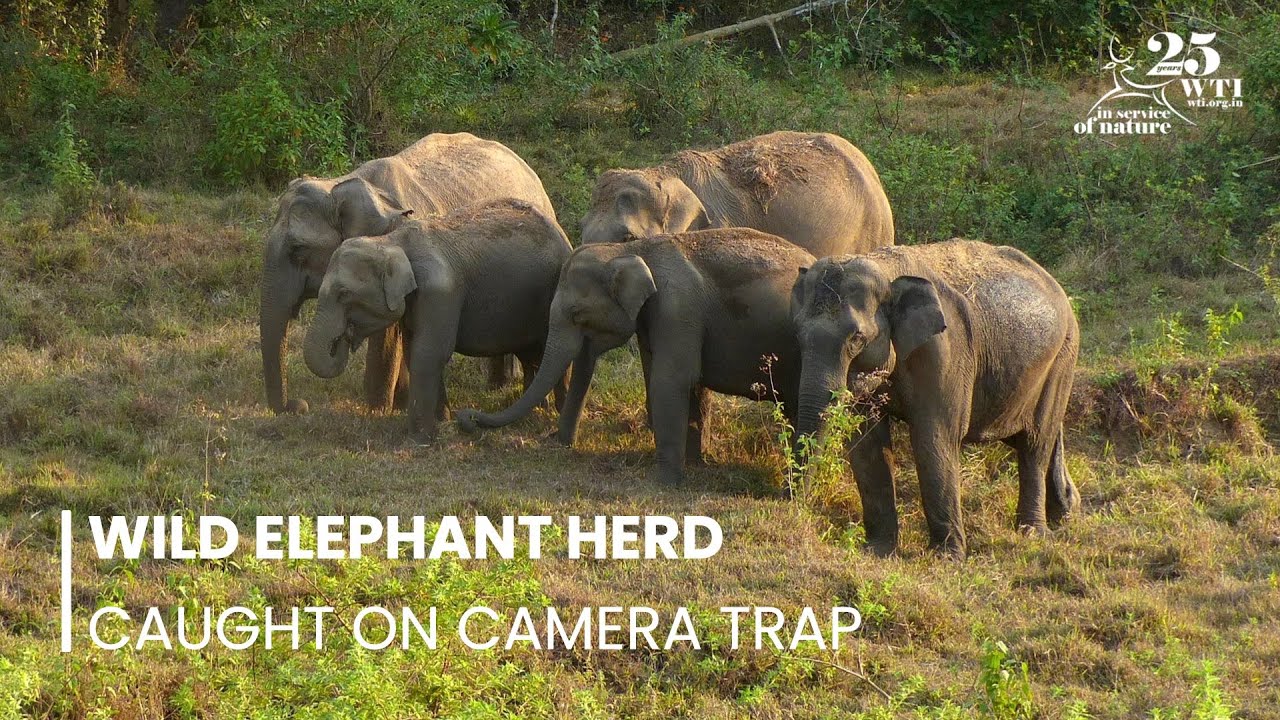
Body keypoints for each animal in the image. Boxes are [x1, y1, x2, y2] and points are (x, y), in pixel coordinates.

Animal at [260, 132, 556, 415]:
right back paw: (498, 386)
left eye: (298, 250)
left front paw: (377, 411)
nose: (297, 406)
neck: (343, 184)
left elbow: (388, 333)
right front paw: (400, 405)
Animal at [302, 199, 572, 441]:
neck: (393, 241)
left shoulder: (440, 293)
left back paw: (556, 413)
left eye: (344, 294)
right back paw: (536, 414)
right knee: (531, 356)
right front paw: (442, 421)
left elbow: (430, 353)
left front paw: (419, 439)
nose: (343, 337)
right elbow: (414, 350)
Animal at [456, 228, 817, 486]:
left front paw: (665, 483)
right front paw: (696, 465)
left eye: (577, 315)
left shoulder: (677, 309)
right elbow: (688, 380)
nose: (466, 418)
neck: (634, 250)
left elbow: (672, 379)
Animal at [790, 240, 1081, 558]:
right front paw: (878, 550)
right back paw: (1066, 512)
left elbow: (934, 437)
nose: (796, 503)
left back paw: (1033, 533)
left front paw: (946, 557)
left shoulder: (943, 351)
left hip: (1062, 358)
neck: (886, 270)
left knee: (1035, 443)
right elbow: (867, 443)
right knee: (1029, 436)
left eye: (856, 338)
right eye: (798, 333)